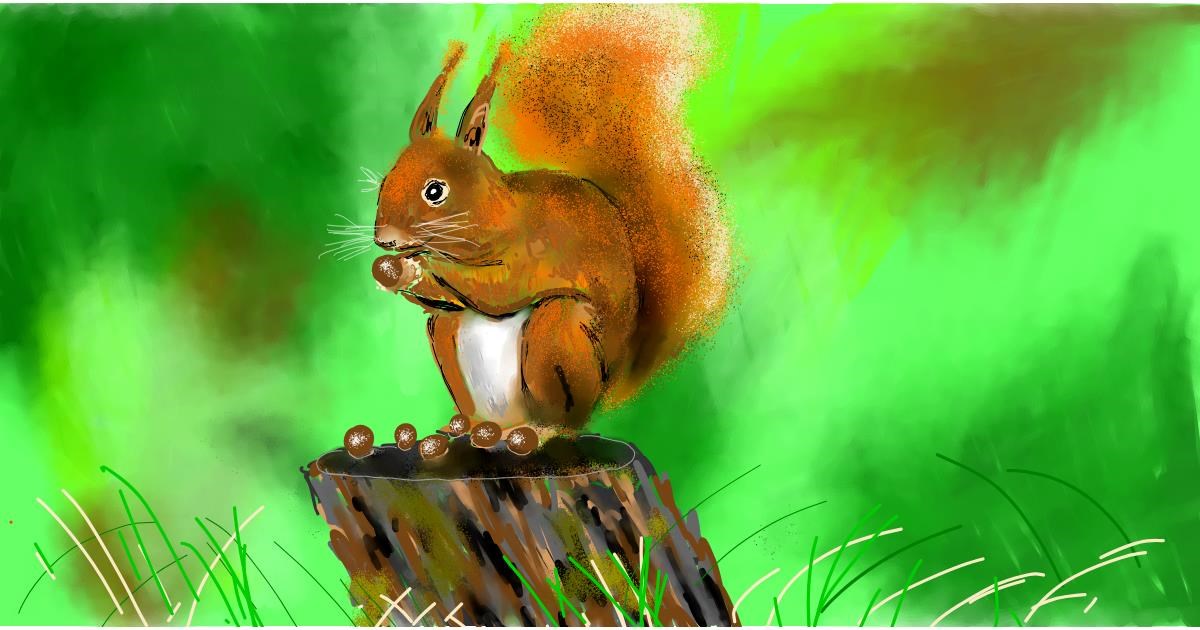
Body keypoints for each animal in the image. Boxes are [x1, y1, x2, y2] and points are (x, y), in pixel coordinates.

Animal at [370, 6, 731, 452]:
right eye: (384, 182)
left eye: (435, 191)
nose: (383, 238)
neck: (496, 213)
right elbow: (444, 301)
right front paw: (395, 272)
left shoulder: (534, 248)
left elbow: (498, 290)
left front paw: (421, 265)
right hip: (447, 341)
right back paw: (463, 428)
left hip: (555, 333)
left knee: (566, 417)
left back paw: (543, 430)